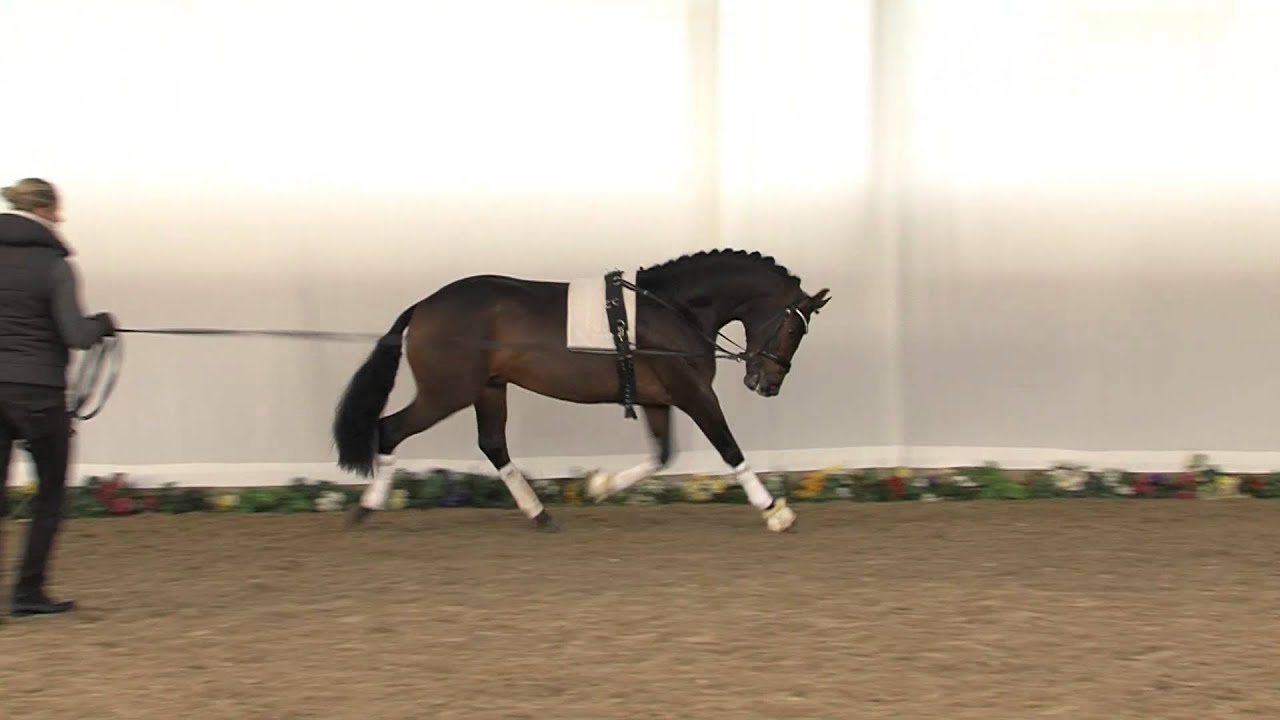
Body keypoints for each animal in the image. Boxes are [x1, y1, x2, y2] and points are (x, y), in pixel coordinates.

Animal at [332, 248, 830, 533]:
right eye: (793, 330)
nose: (766, 384)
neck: (672, 309)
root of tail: (423, 306)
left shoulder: (657, 399)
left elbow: (661, 455)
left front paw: (599, 485)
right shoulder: (692, 393)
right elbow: (729, 449)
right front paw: (775, 511)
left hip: (489, 390)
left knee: (492, 444)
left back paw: (539, 514)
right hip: (445, 393)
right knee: (389, 429)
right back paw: (366, 508)